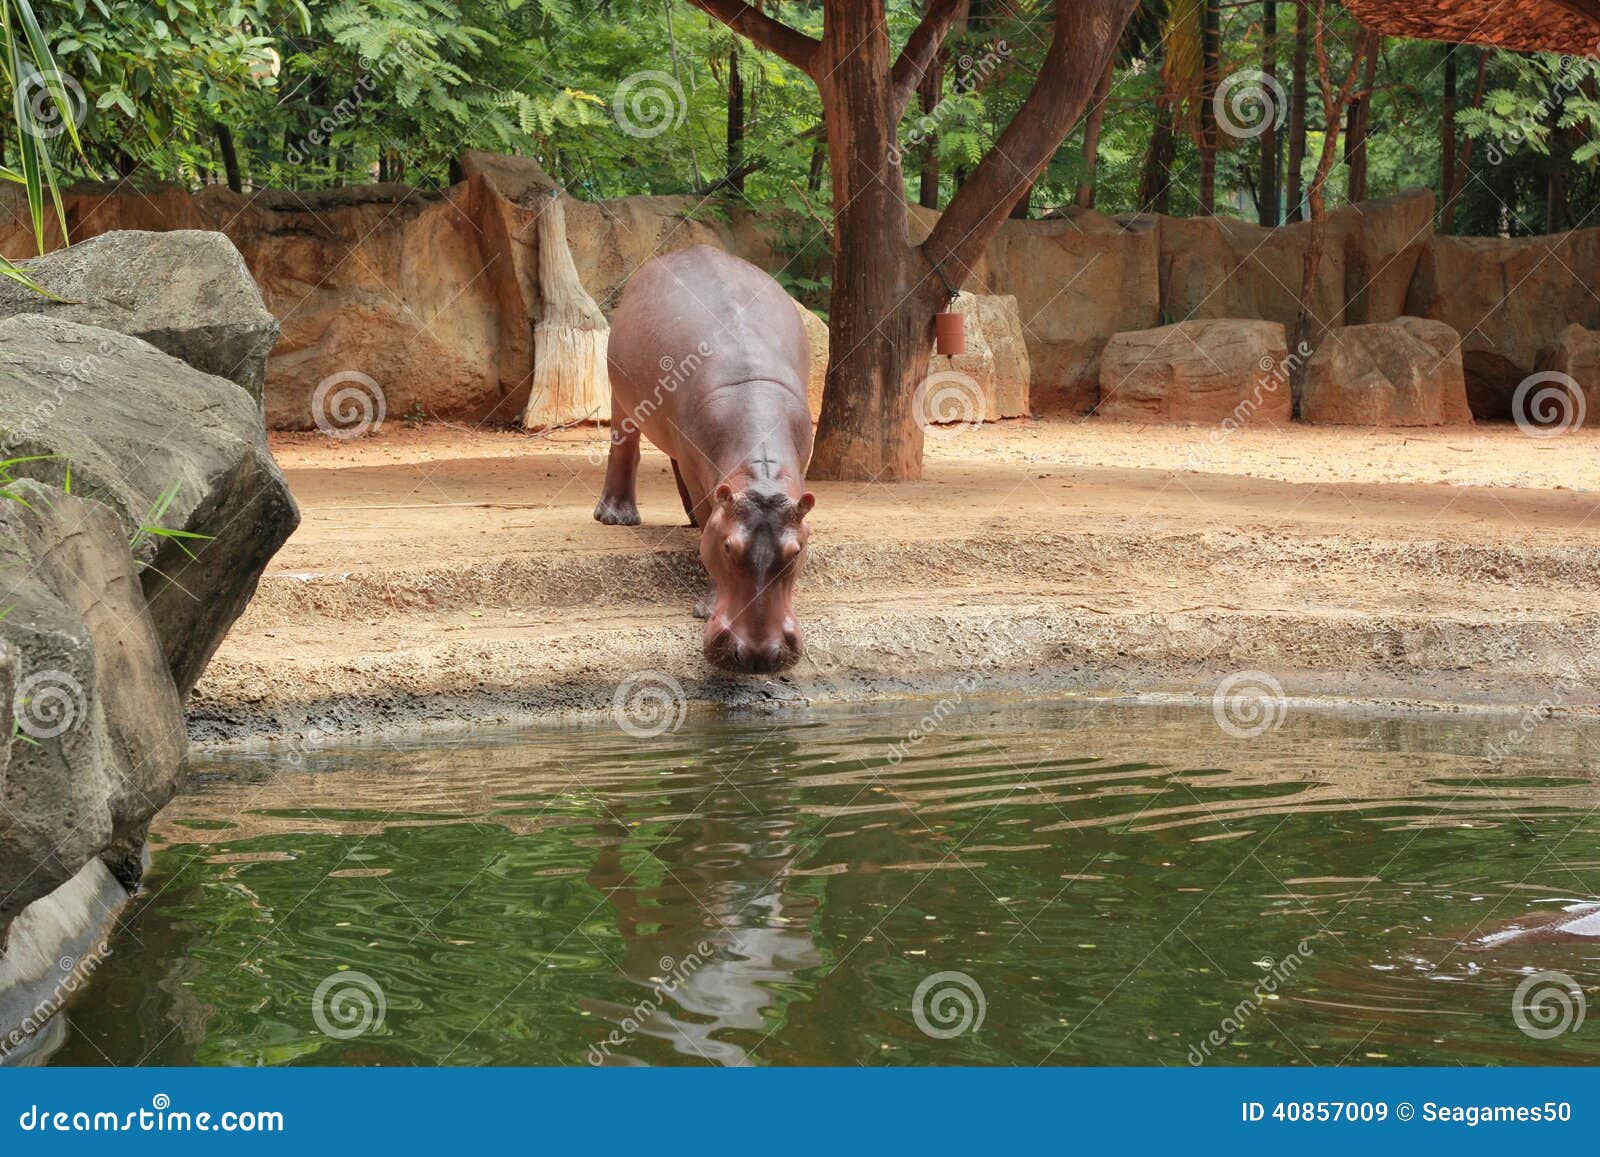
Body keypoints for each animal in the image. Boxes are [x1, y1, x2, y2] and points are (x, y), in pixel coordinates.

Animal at [597, 245, 815, 675]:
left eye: (796, 551)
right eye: (727, 546)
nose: (758, 655)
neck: (760, 478)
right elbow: (704, 522)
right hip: (621, 395)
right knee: (624, 445)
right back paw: (616, 516)